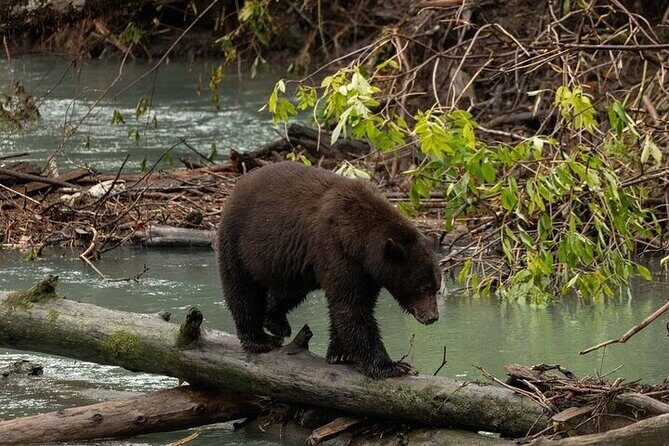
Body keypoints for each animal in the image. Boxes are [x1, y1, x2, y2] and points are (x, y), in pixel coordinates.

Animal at [214, 161, 441, 379]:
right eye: (423, 288)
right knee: (243, 289)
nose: (433, 317)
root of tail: (238, 185)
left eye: (437, 288)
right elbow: (352, 307)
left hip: (292, 264)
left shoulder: (366, 271)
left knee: (289, 291)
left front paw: (340, 354)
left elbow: (354, 305)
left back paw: (276, 322)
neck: (361, 241)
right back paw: (258, 339)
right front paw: (391, 366)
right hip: (238, 239)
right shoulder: (336, 250)